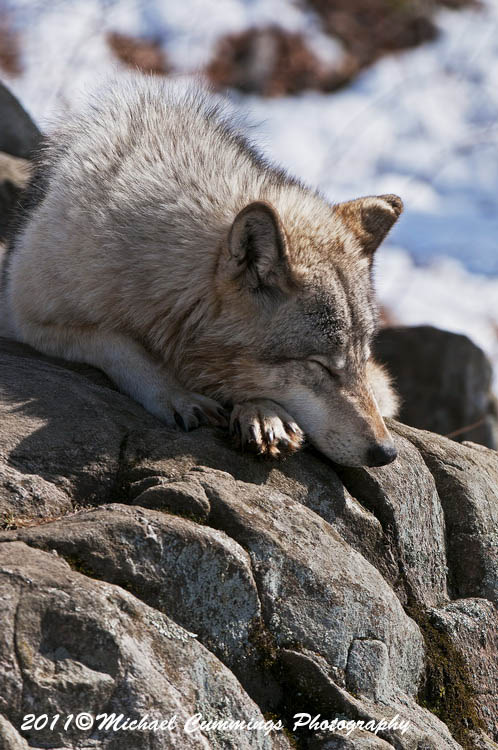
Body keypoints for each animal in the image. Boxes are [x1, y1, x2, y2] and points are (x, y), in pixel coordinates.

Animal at [2, 75, 401, 467]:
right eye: (319, 365)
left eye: (361, 358)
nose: (386, 452)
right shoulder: (24, 318)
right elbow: (117, 344)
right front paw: (177, 395)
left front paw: (262, 412)